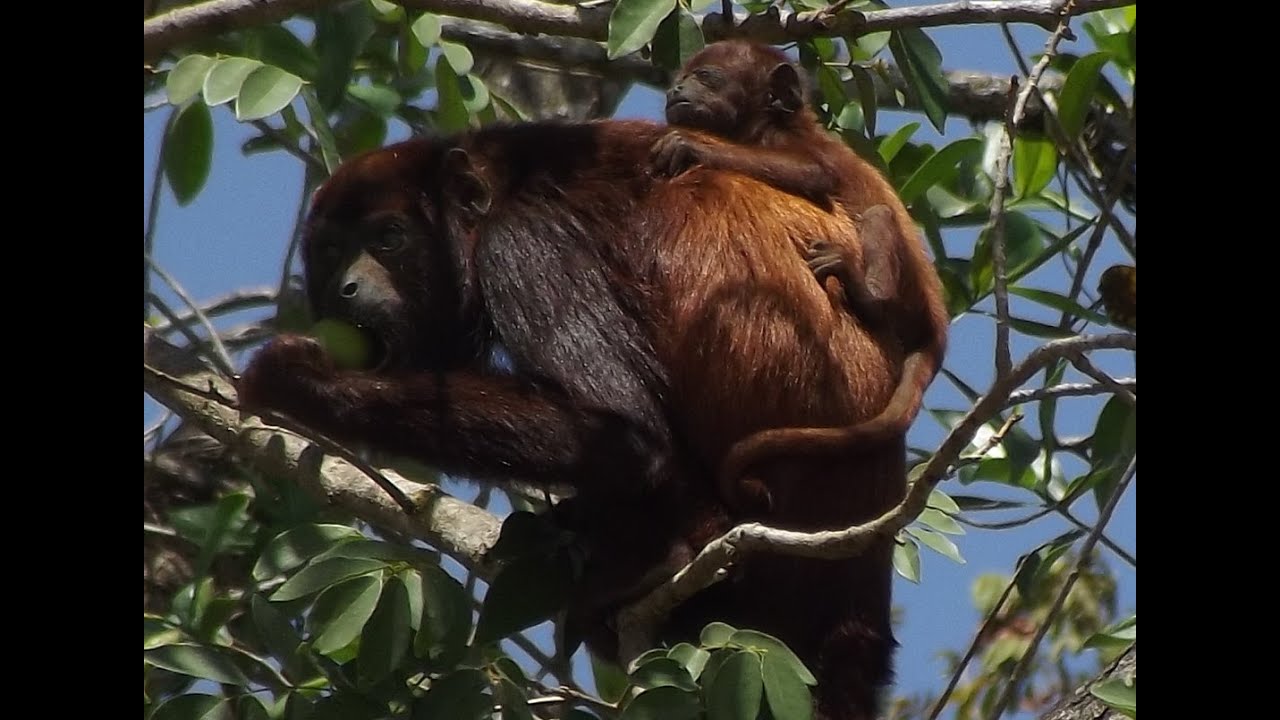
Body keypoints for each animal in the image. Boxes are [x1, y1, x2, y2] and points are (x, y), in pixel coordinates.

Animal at [237, 118, 905, 720]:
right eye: (330, 251)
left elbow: (626, 432)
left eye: (389, 238)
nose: (346, 288)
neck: (499, 186)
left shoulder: (525, 244)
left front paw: (300, 382)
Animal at [650, 40, 950, 518]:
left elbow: (815, 174)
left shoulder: (787, 143)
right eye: (682, 77)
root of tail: (937, 326)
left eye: (707, 78)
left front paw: (690, 147)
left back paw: (868, 294)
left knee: (878, 217)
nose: (676, 89)